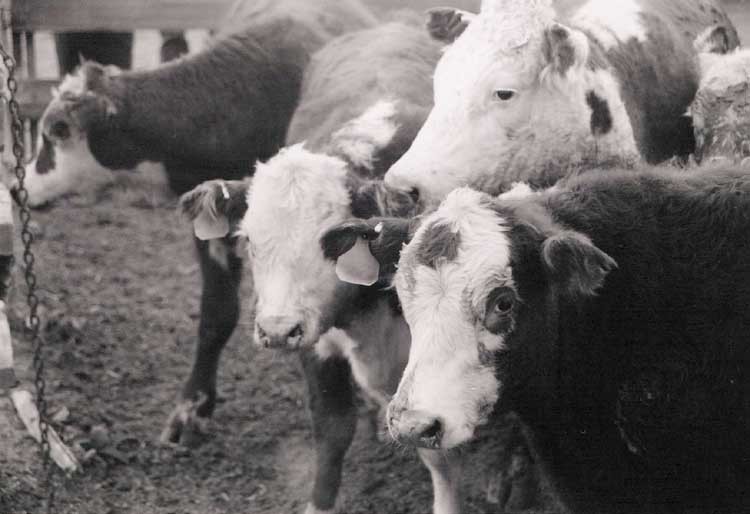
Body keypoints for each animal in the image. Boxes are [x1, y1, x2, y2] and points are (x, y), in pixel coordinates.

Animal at [178, 20, 459, 514]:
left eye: (334, 243)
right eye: (248, 240)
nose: (275, 331)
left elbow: (437, 450)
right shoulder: (316, 340)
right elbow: (332, 431)